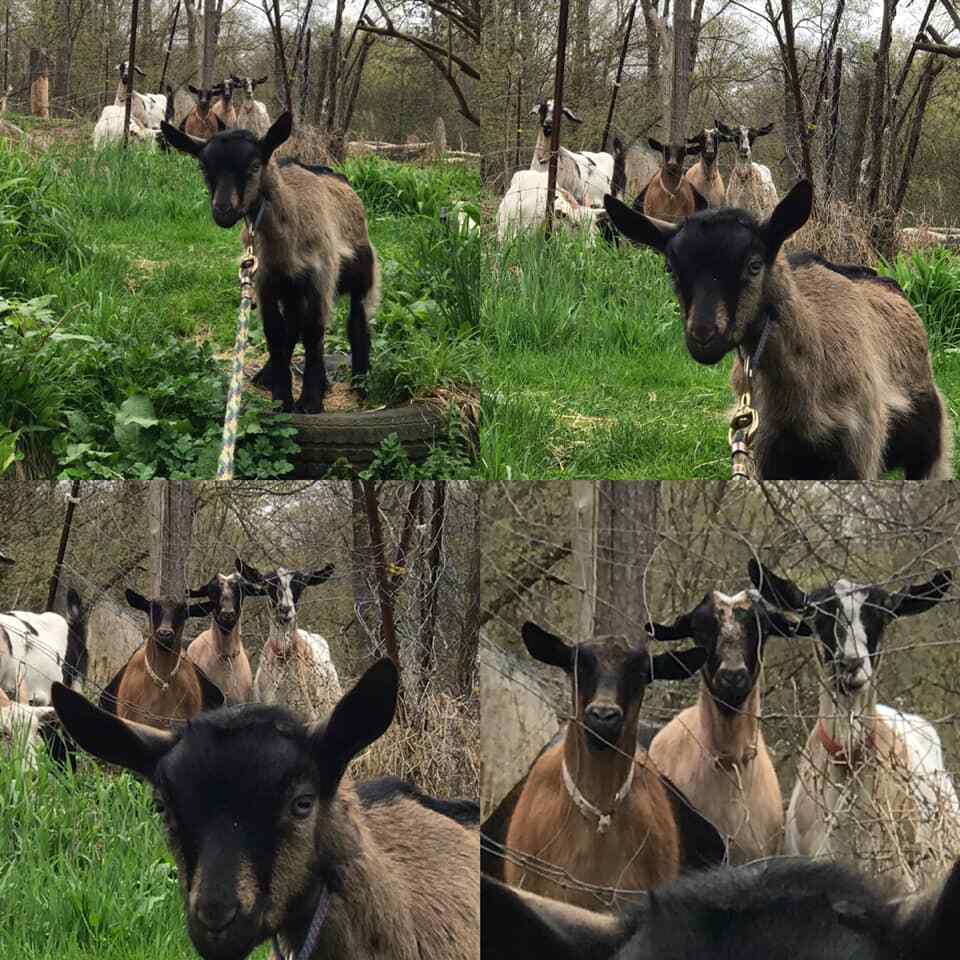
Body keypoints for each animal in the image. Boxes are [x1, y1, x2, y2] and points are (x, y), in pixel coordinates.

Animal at [161, 112, 380, 413]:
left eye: (255, 166)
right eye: (203, 168)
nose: (223, 211)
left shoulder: (320, 278)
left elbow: (314, 333)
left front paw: (310, 401)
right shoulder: (265, 282)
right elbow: (275, 333)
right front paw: (282, 397)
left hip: (362, 270)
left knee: (357, 320)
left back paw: (361, 383)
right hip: (291, 291)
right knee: (293, 325)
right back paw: (272, 376)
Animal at [603, 180, 952, 479]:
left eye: (754, 265)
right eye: (671, 269)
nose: (702, 336)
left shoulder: (860, 445)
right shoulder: (766, 450)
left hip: (929, 442)